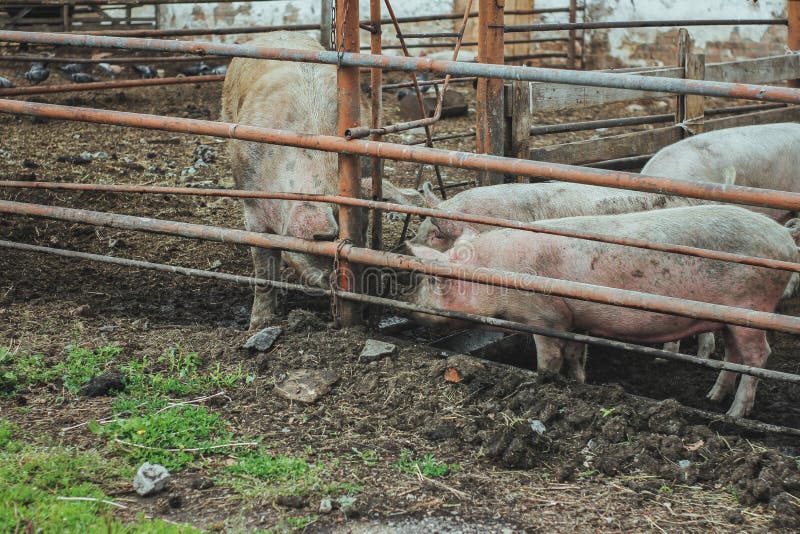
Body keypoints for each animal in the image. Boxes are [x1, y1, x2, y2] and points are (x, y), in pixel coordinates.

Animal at [221, 31, 423, 328]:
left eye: (362, 233)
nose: (365, 298)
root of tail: (272, 34)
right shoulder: (252, 205)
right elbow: (263, 266)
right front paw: (258, 325)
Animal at [407, 205, 798, 418]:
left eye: (434, 279)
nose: (412, 311)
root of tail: (785, 242)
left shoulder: (544, 317)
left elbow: (549, 358)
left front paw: (542, 382)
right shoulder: (575, 320)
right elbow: (577, 355)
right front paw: (580, 385)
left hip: (752, 307)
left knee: (758, 355)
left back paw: (735, 412)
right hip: (733, 317)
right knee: (735, 355)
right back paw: (712, 398)